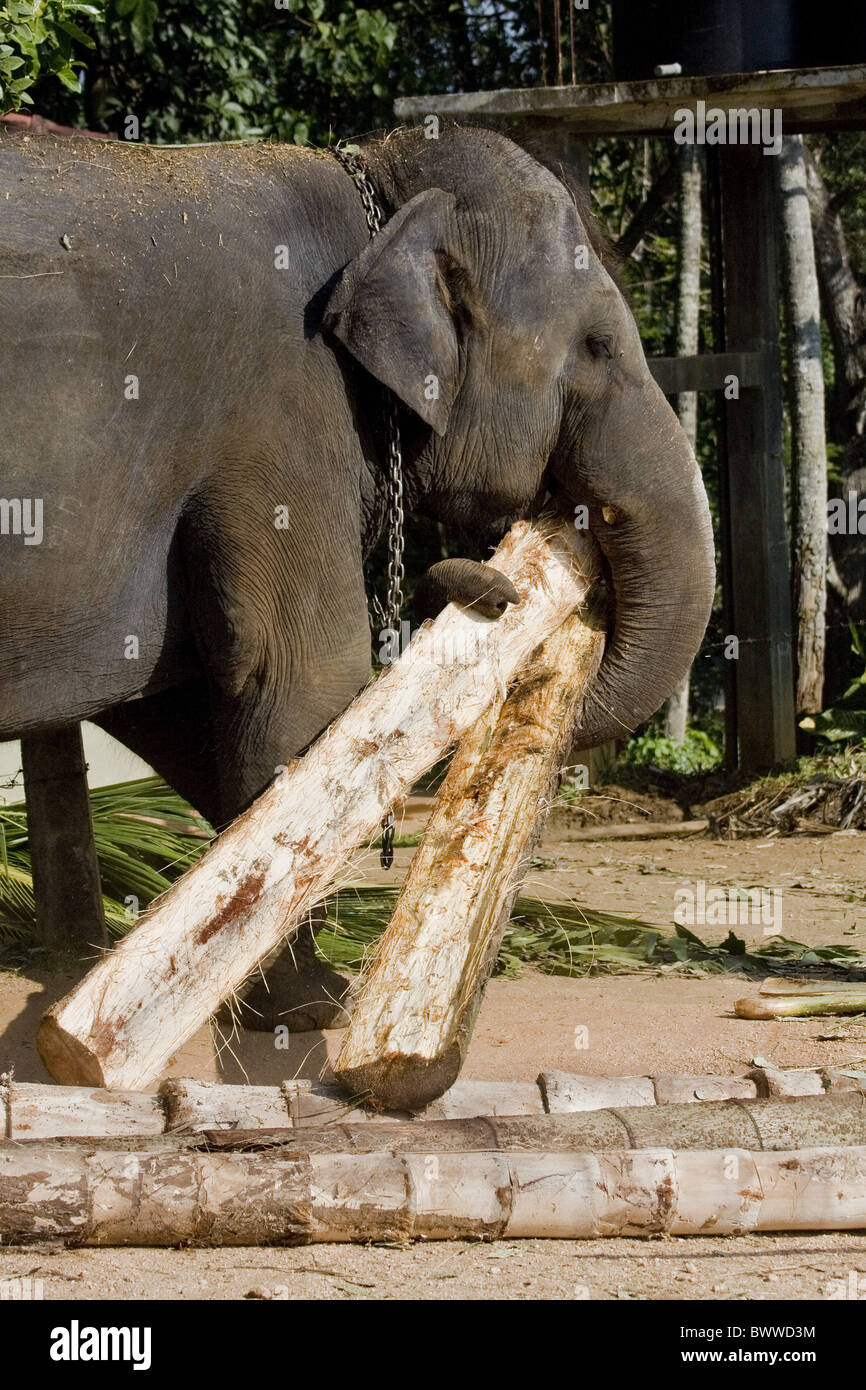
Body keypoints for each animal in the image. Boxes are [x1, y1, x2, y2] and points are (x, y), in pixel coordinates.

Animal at [0, 123, 715, 1030]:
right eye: (598, 345)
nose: (490, 585)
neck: (370, 181)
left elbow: (179, 707)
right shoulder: (285, 415)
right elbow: (301, 686)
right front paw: (314, 1009)